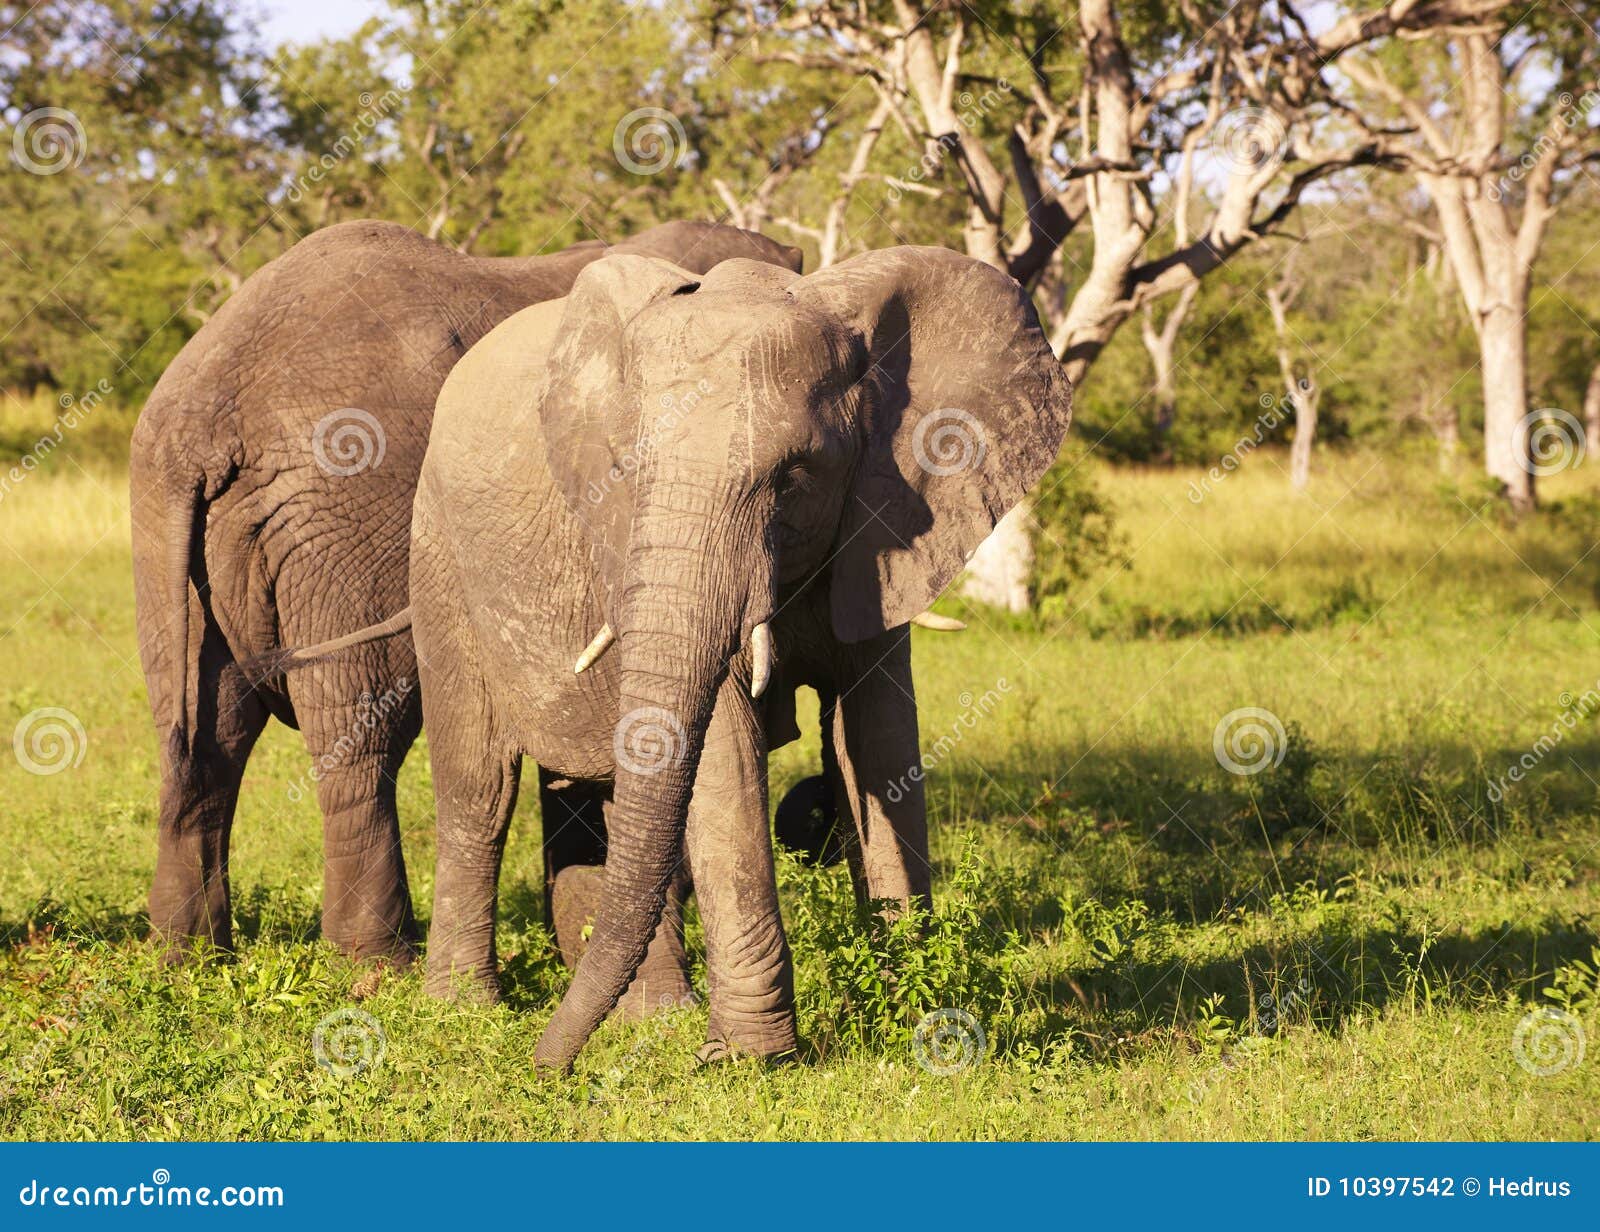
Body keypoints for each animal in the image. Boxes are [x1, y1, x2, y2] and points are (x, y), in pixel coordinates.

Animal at [129, 219, 803, 968]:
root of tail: (204, 417)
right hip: (346, 515)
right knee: (362, 737)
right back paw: (378, 966)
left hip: (166, 525)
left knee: (204, 729)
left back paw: (184, 957)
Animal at [391, 245, 1072, 1069]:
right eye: (625, 470)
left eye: (795, 477)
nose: (545, 1068)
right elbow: (724, 751)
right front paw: (752, 1060)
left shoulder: (880, 527)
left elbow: (878, 741)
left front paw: (922, 1018)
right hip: (438, 556)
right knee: (480, 787)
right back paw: (466, 1007)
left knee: (608, 789)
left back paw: (650, 1016)